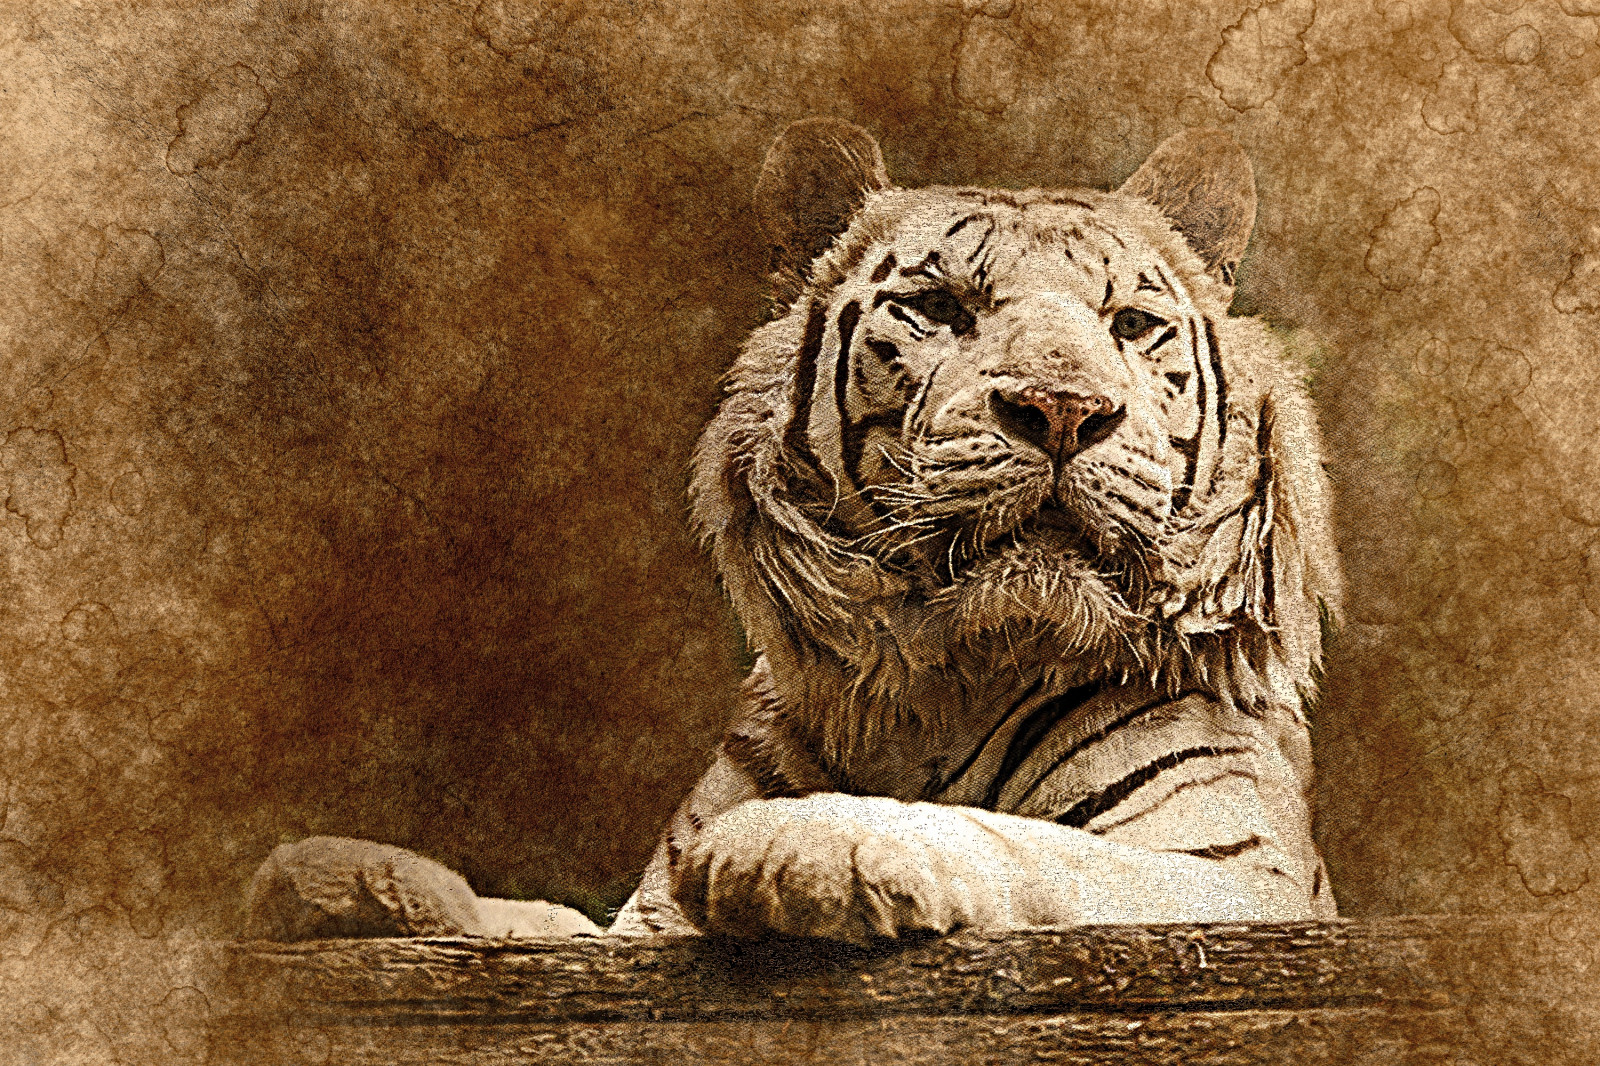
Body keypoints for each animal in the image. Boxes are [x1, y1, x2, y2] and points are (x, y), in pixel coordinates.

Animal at [244, 119, 1343, 945]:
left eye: (1131, 325)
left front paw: (801, 843)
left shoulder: (1239, 878)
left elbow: (1033, 847)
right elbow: (544, 925)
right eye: (939, 308)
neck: (946, 681)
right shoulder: (637, 924)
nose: (1061, 409)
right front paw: (348, 882)